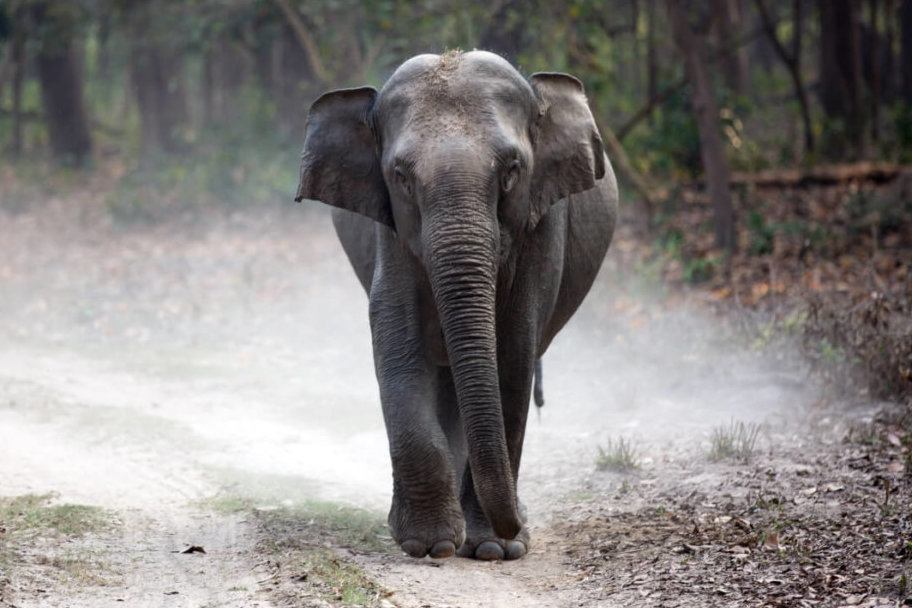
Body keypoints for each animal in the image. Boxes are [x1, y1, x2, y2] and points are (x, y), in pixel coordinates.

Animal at [295, 50, 617, 560]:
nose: (516, 526)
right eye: (401, 178)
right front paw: (430, 545)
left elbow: (512, 355)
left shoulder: (542, 225)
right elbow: (398, 344)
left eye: (511, 171)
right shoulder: (391, 232)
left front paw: (493, 549)